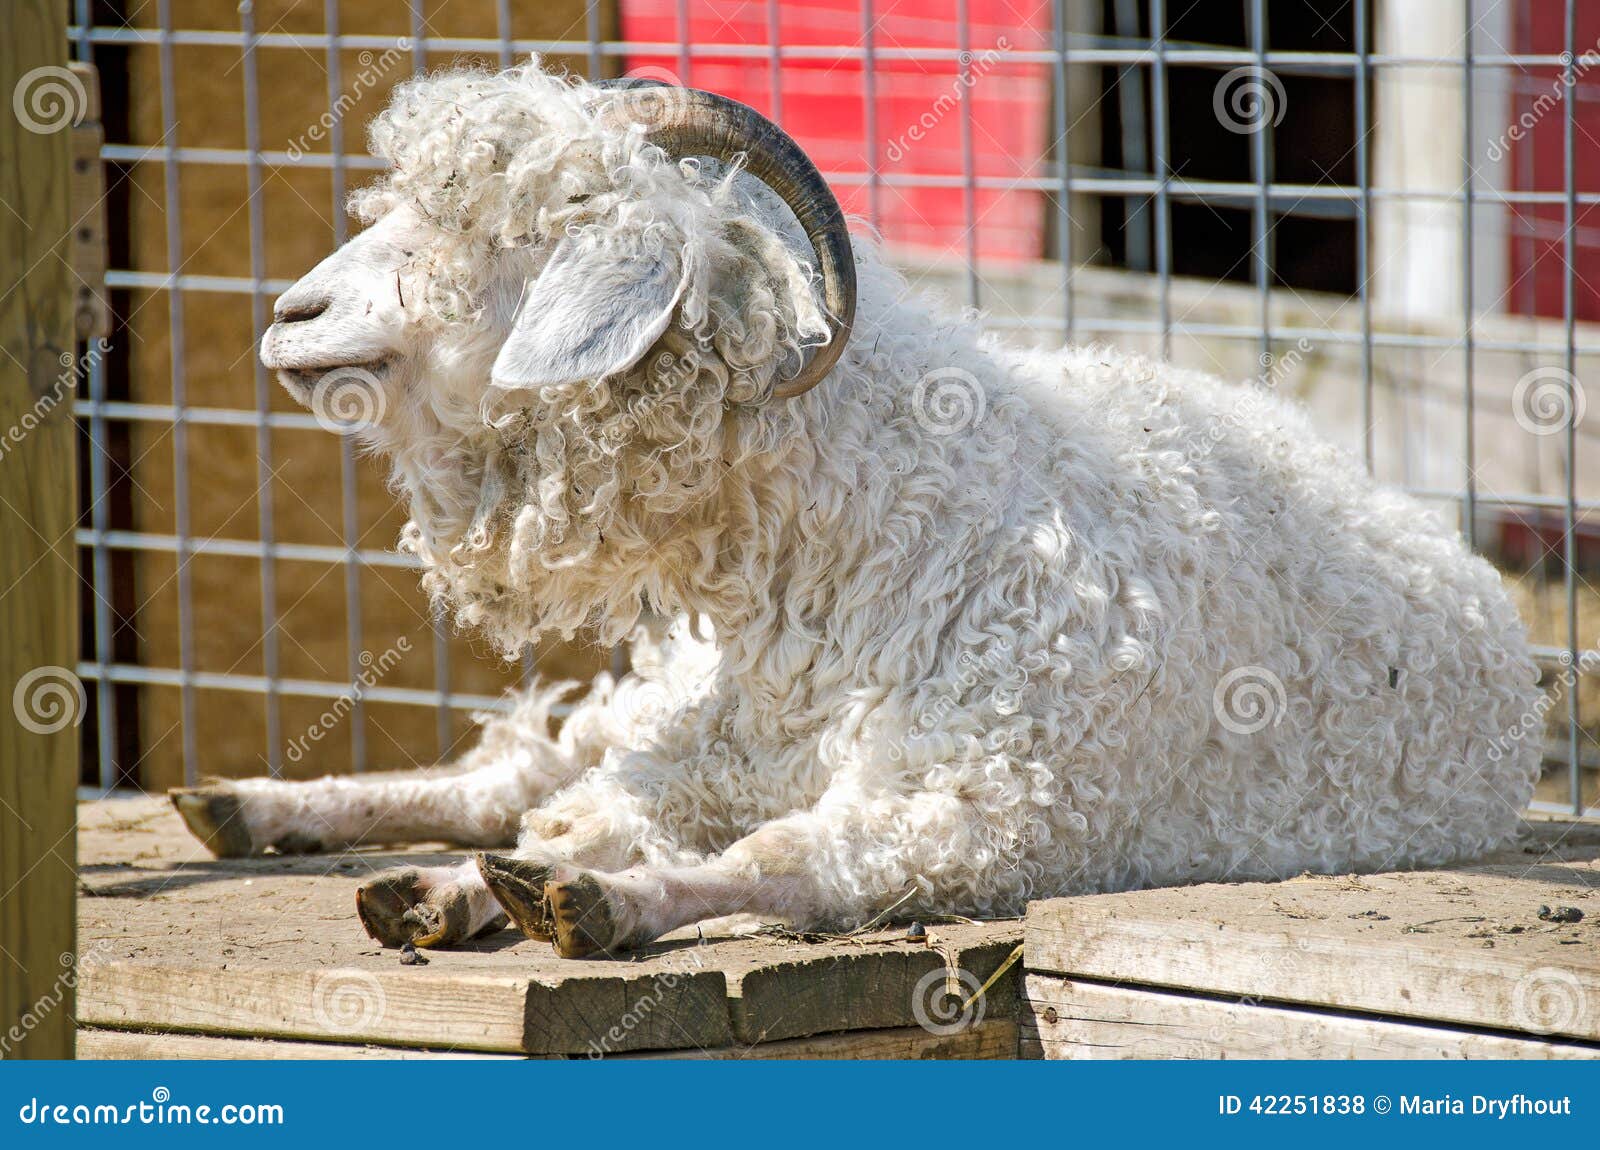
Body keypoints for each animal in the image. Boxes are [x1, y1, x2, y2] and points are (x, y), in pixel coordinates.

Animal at [172, 62, 1543, 959]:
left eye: (523, 233)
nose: (292, 316)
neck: (869, 530)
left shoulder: (985, 810)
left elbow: (772, 862)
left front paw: (590, 902)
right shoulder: (701, 749)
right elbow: (588, 812)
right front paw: (472, 886)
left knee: (527, 776)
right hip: (655, 695)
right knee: (518, 766)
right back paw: (263, 806)